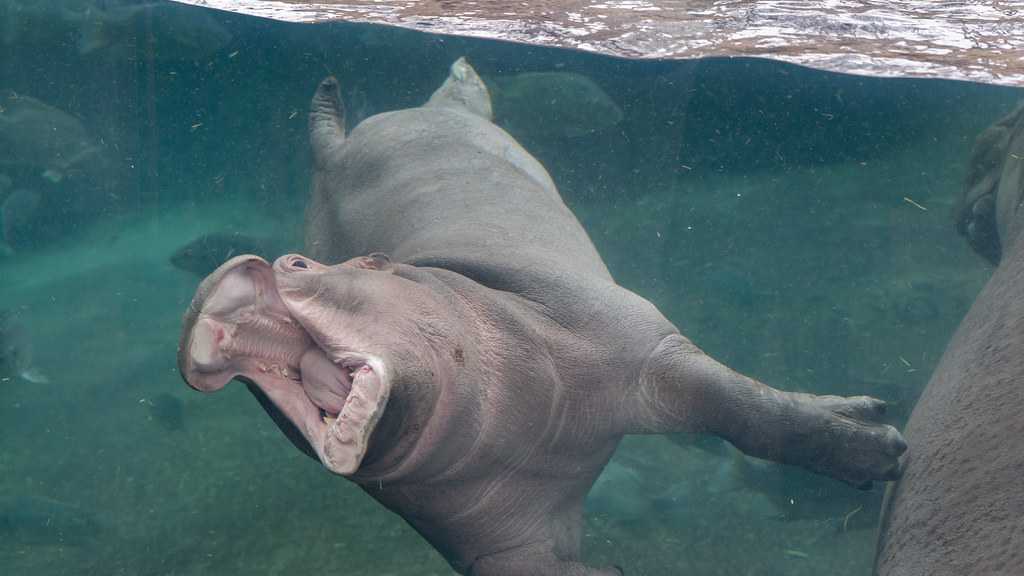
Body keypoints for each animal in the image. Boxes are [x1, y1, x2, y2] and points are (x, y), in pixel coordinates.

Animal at [178, 58, 906, 575]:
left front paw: (880, 444)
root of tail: (333, 151)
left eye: (355, 263)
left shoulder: (646, 350)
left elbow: (751, 413)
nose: (258, 263)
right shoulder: (490, 543)